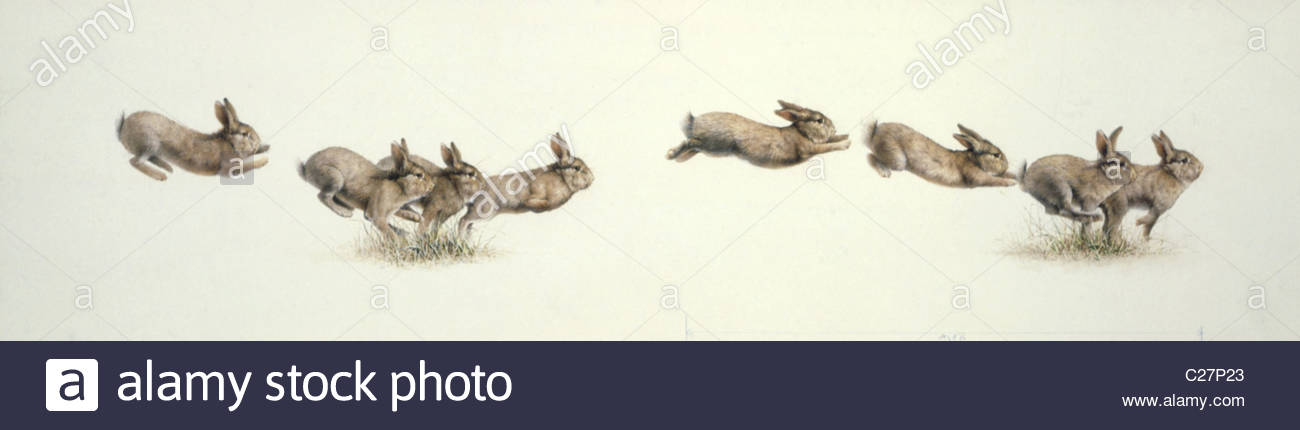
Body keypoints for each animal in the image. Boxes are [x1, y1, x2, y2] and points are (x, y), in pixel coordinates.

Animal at [117, 98, 269, 181]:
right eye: (245, 134)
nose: (257, 142)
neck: (230, 144)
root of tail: (123, 129)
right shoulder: (228, 168)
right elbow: (247, 166)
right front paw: (264, 160)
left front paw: (266, 147)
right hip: (150, 143)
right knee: (135, 161)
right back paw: (160, 175)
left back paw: (167, 167)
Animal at [298, 139, 436, 240]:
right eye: (419, 175)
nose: (432, 186)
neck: (398, 185)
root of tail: (306, 167)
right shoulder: (376, 212)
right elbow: (386, 228)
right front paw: (400, 243)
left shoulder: (393, 208)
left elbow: (402, 213)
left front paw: (417, 219)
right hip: (335, 178)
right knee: (323, 196)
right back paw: (344, 212)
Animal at [458, 132, 594, 235]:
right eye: (577, 168)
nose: (592, 178)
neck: (562, 178)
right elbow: (534, 201)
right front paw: (539, 204)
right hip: (484, 211)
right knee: (463, 221)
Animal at [666, 100, 850, 168]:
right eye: (819, 120)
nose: (834, 128)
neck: (801, 131)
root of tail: (694, 121)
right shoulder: (808, 148)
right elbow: (827, 147)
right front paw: (846, 143)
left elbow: (830, 141)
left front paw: (845, 136)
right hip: (716, 144)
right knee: (690, 142)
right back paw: (671, 154)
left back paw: (678, 157)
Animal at [866, 122, 1016, 187]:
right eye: (996, 155)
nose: (1007, 165)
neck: (974, 160)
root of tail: (875, 132)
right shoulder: (976, 176)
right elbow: (993, 180)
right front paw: (1011, 182)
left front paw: (1013, 175)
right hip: (898, 159)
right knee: (870, 156)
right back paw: (884, 172)